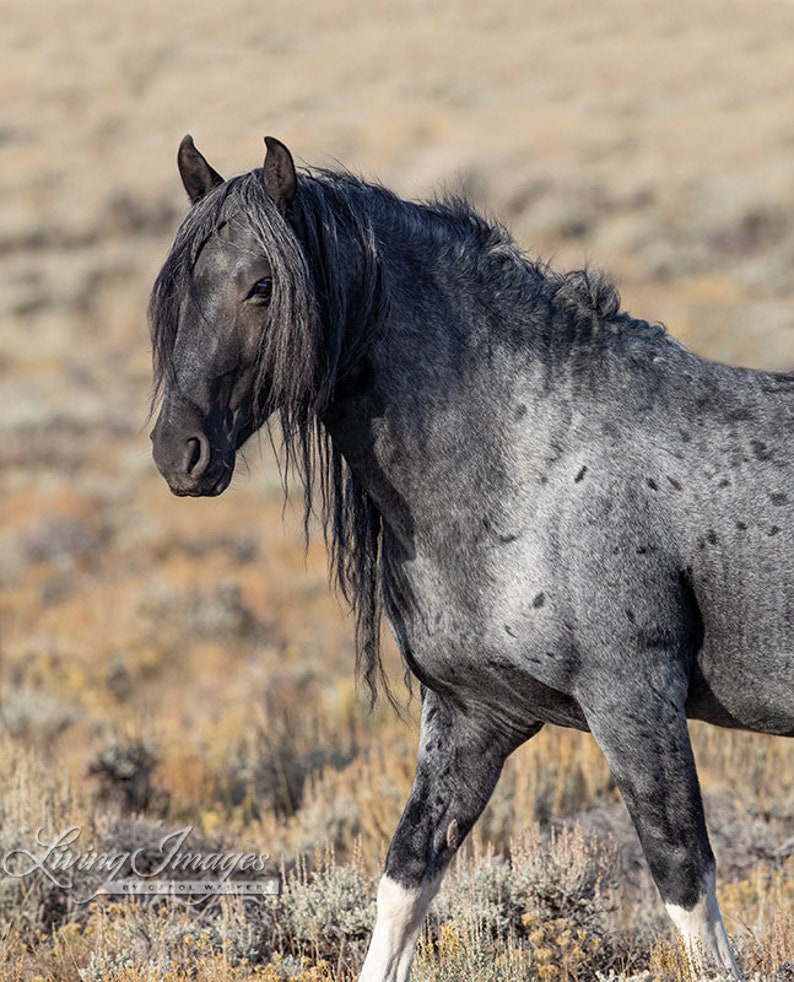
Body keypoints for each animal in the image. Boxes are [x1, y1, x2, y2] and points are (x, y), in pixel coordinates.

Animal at [149, 135, 793, 981]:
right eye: (176, 290)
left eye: (261, 286)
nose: (177, 452)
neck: (530, 454)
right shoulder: (472, 716)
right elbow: (403, 883)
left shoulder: (635, 702)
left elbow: (688, 891)